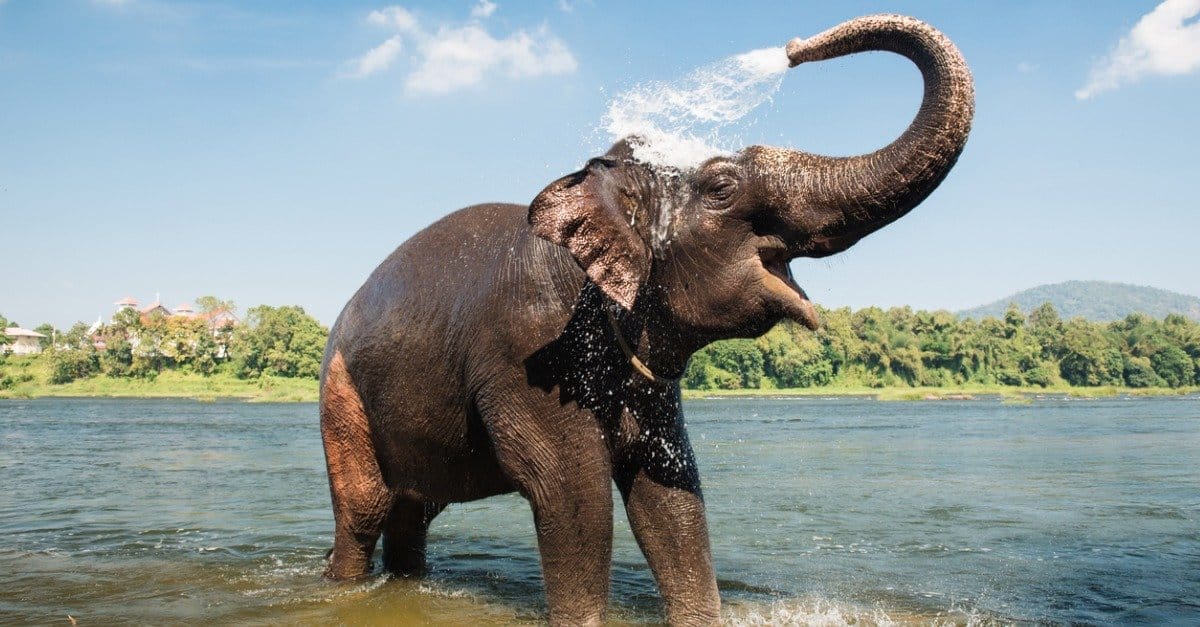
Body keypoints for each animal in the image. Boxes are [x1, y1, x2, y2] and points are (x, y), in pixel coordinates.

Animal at [319, 13, 974, 626]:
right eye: (721, 186)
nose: (792, 48)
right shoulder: (528, 352)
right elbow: (573, 496)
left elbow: (669, 494)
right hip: (340, 394)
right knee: (365, 510)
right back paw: (343, 583)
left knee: (414, 510)